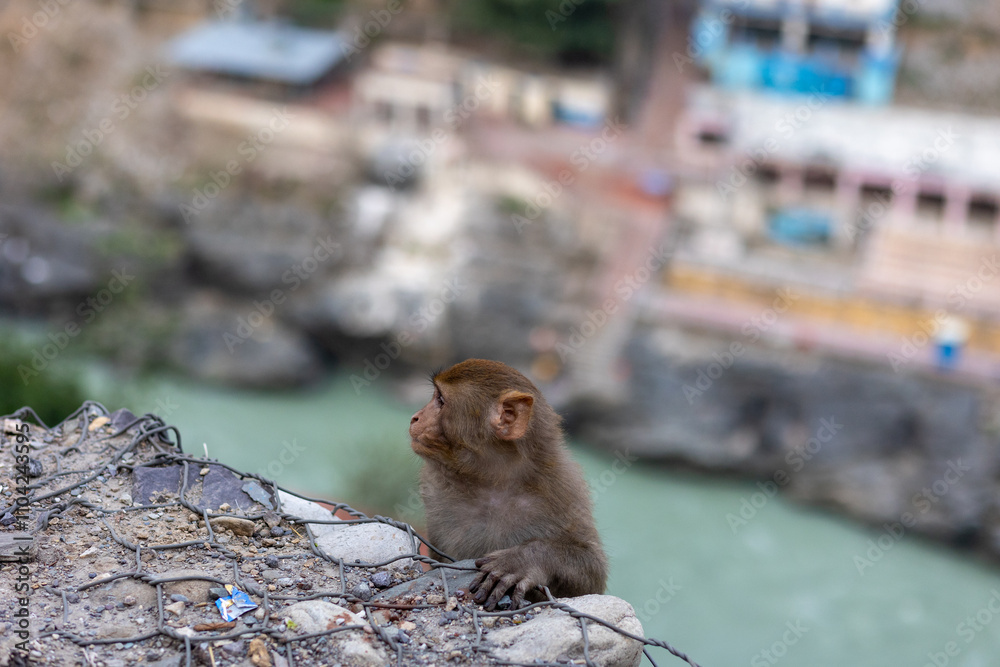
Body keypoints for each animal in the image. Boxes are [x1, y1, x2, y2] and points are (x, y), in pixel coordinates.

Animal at [408, 358, 608, 610]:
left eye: (441, 401)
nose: (415, 417)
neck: (491, 481)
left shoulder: (564, 490)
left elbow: (592, 575)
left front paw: (522, 560)